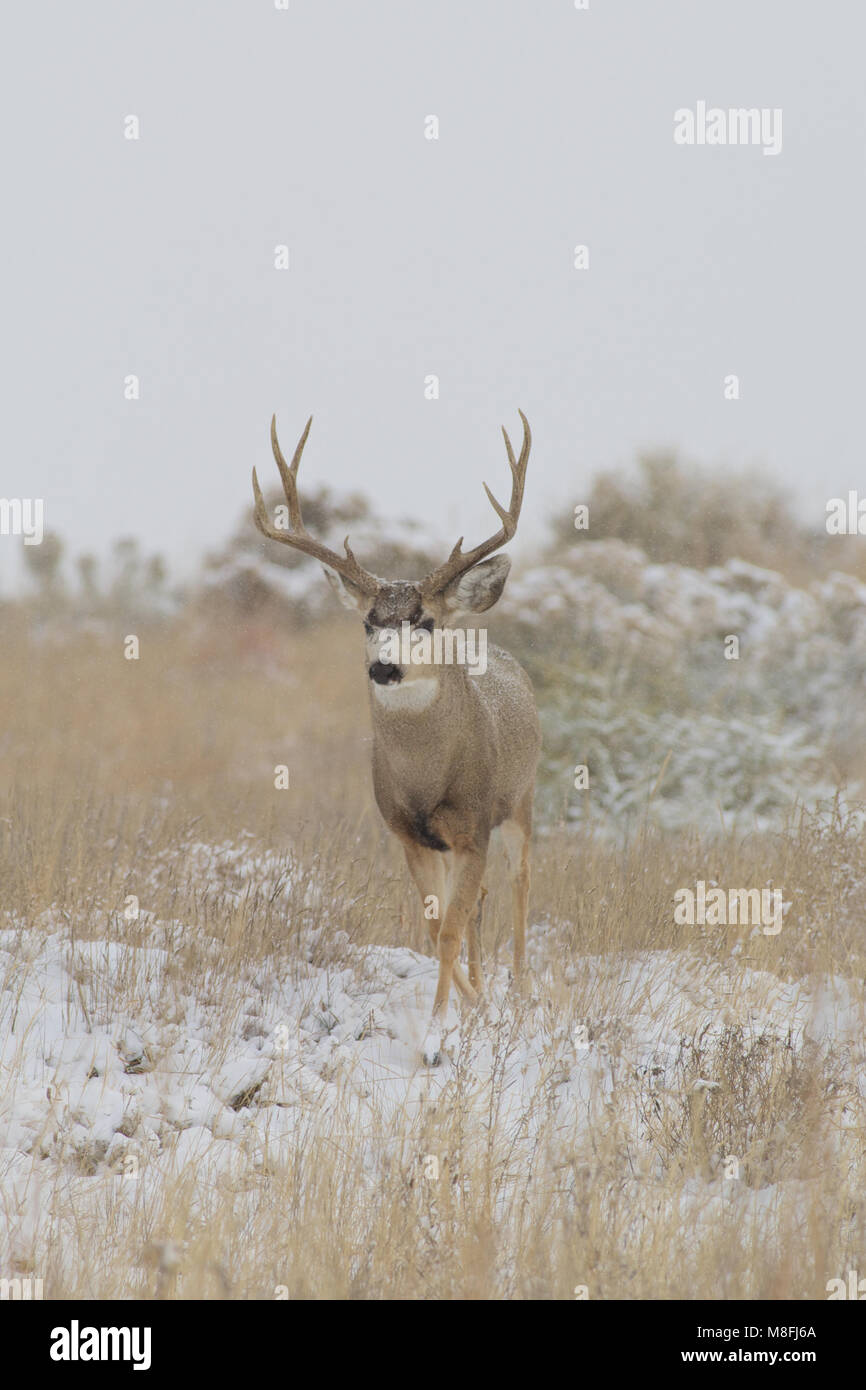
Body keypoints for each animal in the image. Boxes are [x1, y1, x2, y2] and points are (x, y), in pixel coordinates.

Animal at [252, 412, 540, 1064]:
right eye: (368, 621)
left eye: (425, 621)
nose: (384, 668)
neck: (427, 781)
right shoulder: (408, 834)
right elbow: (437, 928)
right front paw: (470, 1009)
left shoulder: (474, 824)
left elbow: (451, 928)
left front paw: (441, 1031)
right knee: (481, 901)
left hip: (521, 801)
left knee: (517, 886)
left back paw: (521, 993)